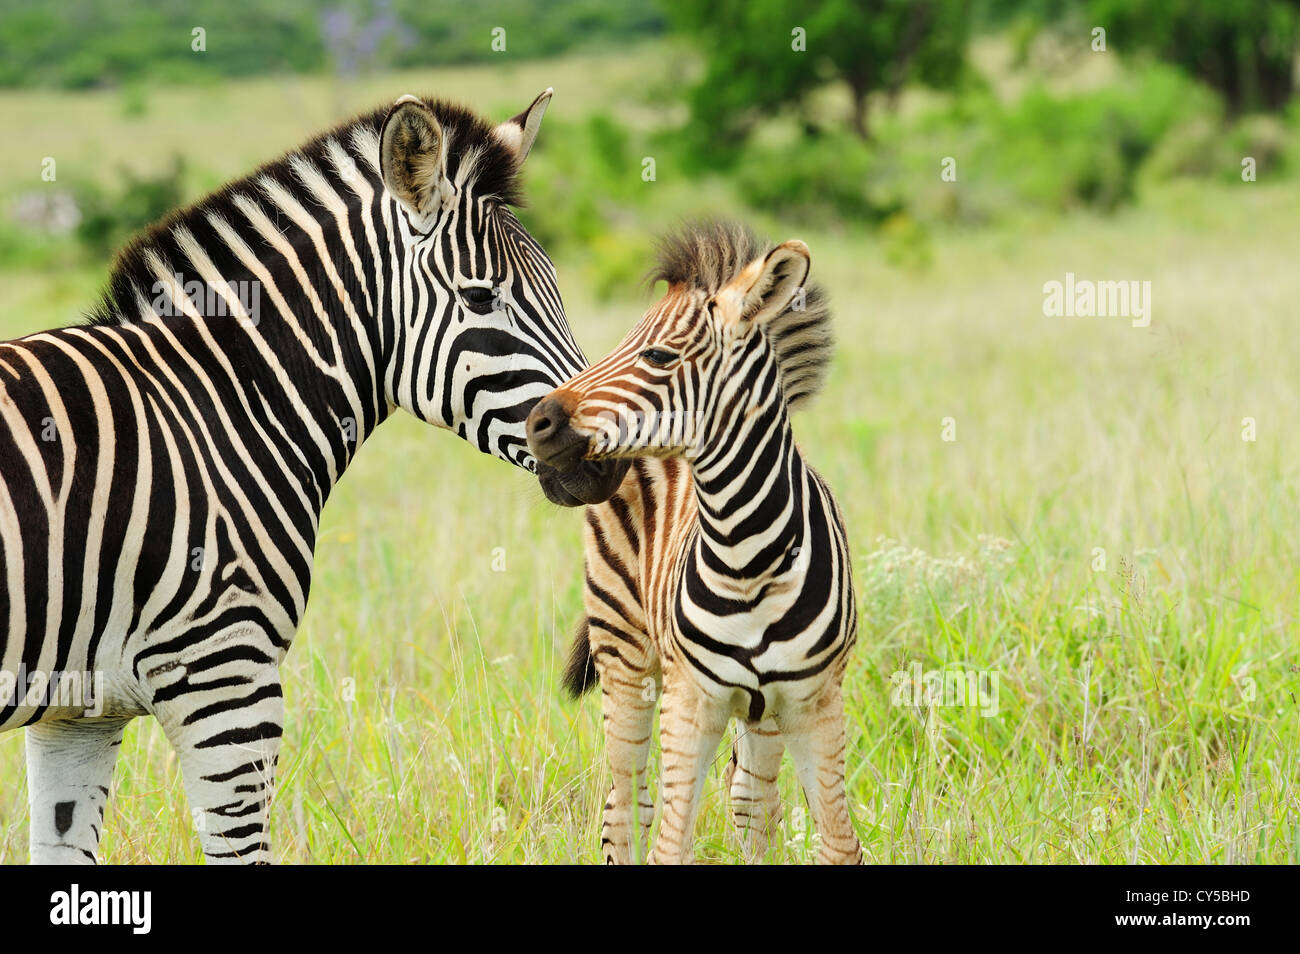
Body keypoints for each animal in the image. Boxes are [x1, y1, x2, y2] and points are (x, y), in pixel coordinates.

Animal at [0, 89, 628, 864]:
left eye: (559, 290)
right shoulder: (227, 681)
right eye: (481, 299)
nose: (607, 457)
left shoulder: (78, 709)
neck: (224, 403)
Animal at [526, 221, 862, 864]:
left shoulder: (813, 701)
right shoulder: (692, 699)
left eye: (658, 355)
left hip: (760, 714)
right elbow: (668, 844)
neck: (750, 557)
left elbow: (838, 843)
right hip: (625, 655)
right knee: (627, 803)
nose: (537, 423)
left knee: (753, 803)